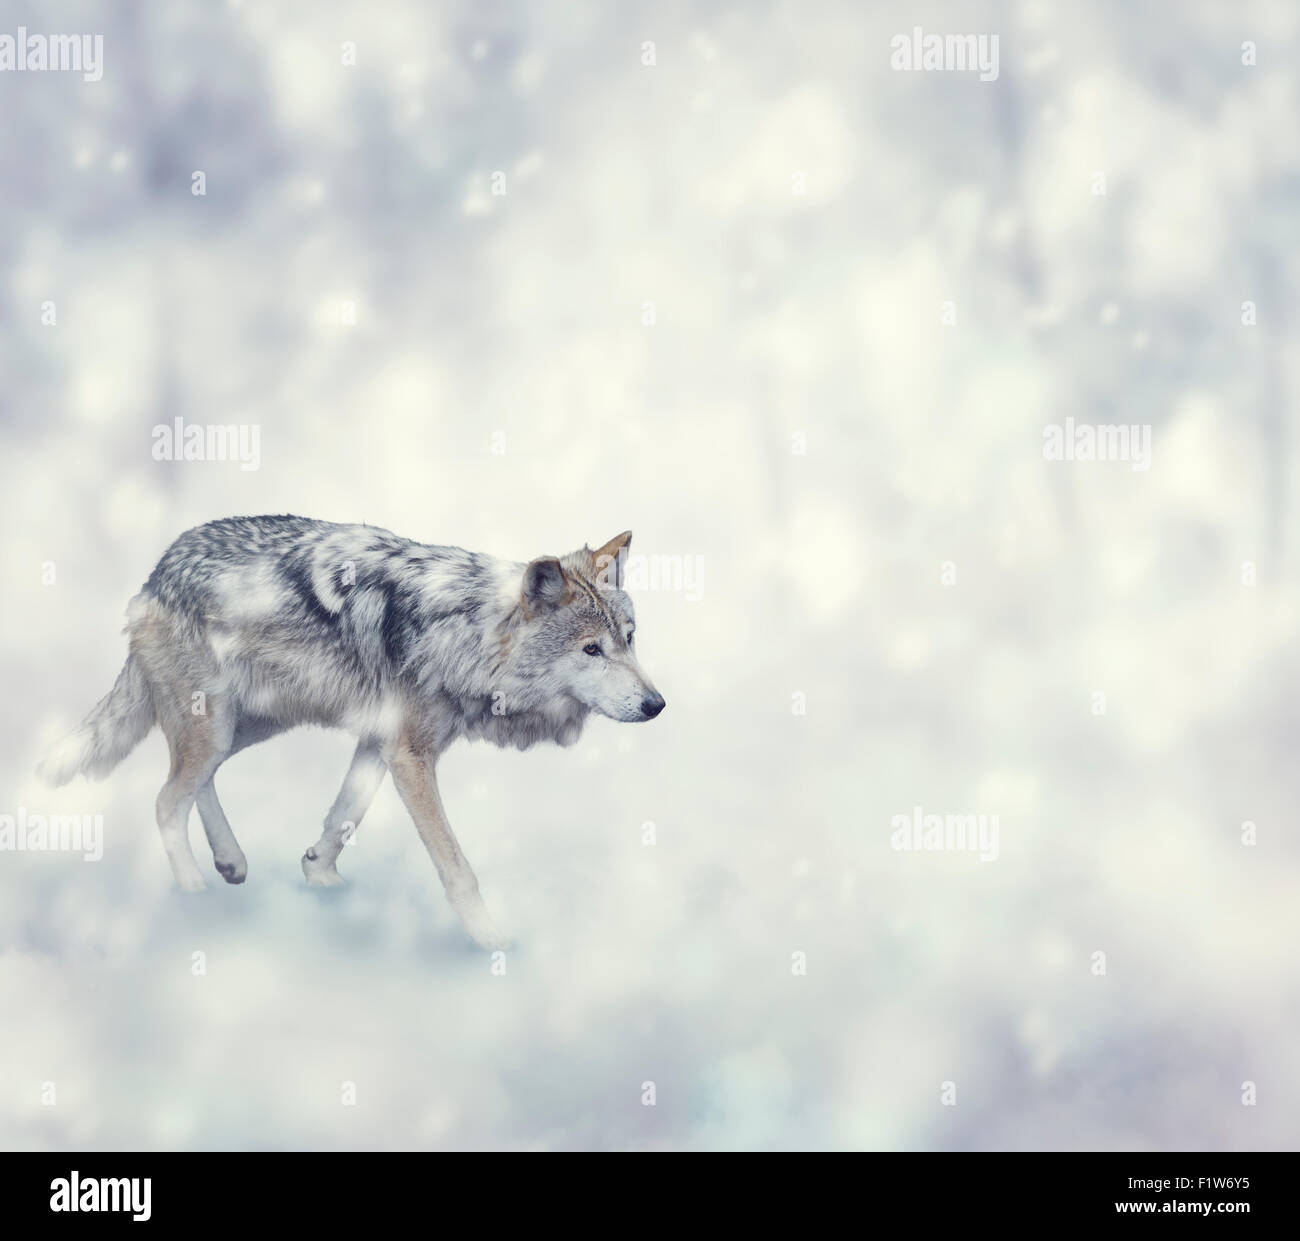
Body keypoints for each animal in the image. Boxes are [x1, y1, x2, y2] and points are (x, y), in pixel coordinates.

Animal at [37, 516, 665, 949]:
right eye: (591, 649)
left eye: (630, 639)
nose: (656, 705)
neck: (465, 633)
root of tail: (158, 570)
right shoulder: (410, 755)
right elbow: (457, 868)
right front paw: (491, 939)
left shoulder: (379, 743)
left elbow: (344, 815)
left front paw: (317, 871)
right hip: (218, 725)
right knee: (168, 798)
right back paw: (195, 890)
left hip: (247, 724)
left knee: (198, 780)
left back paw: (231, 861)